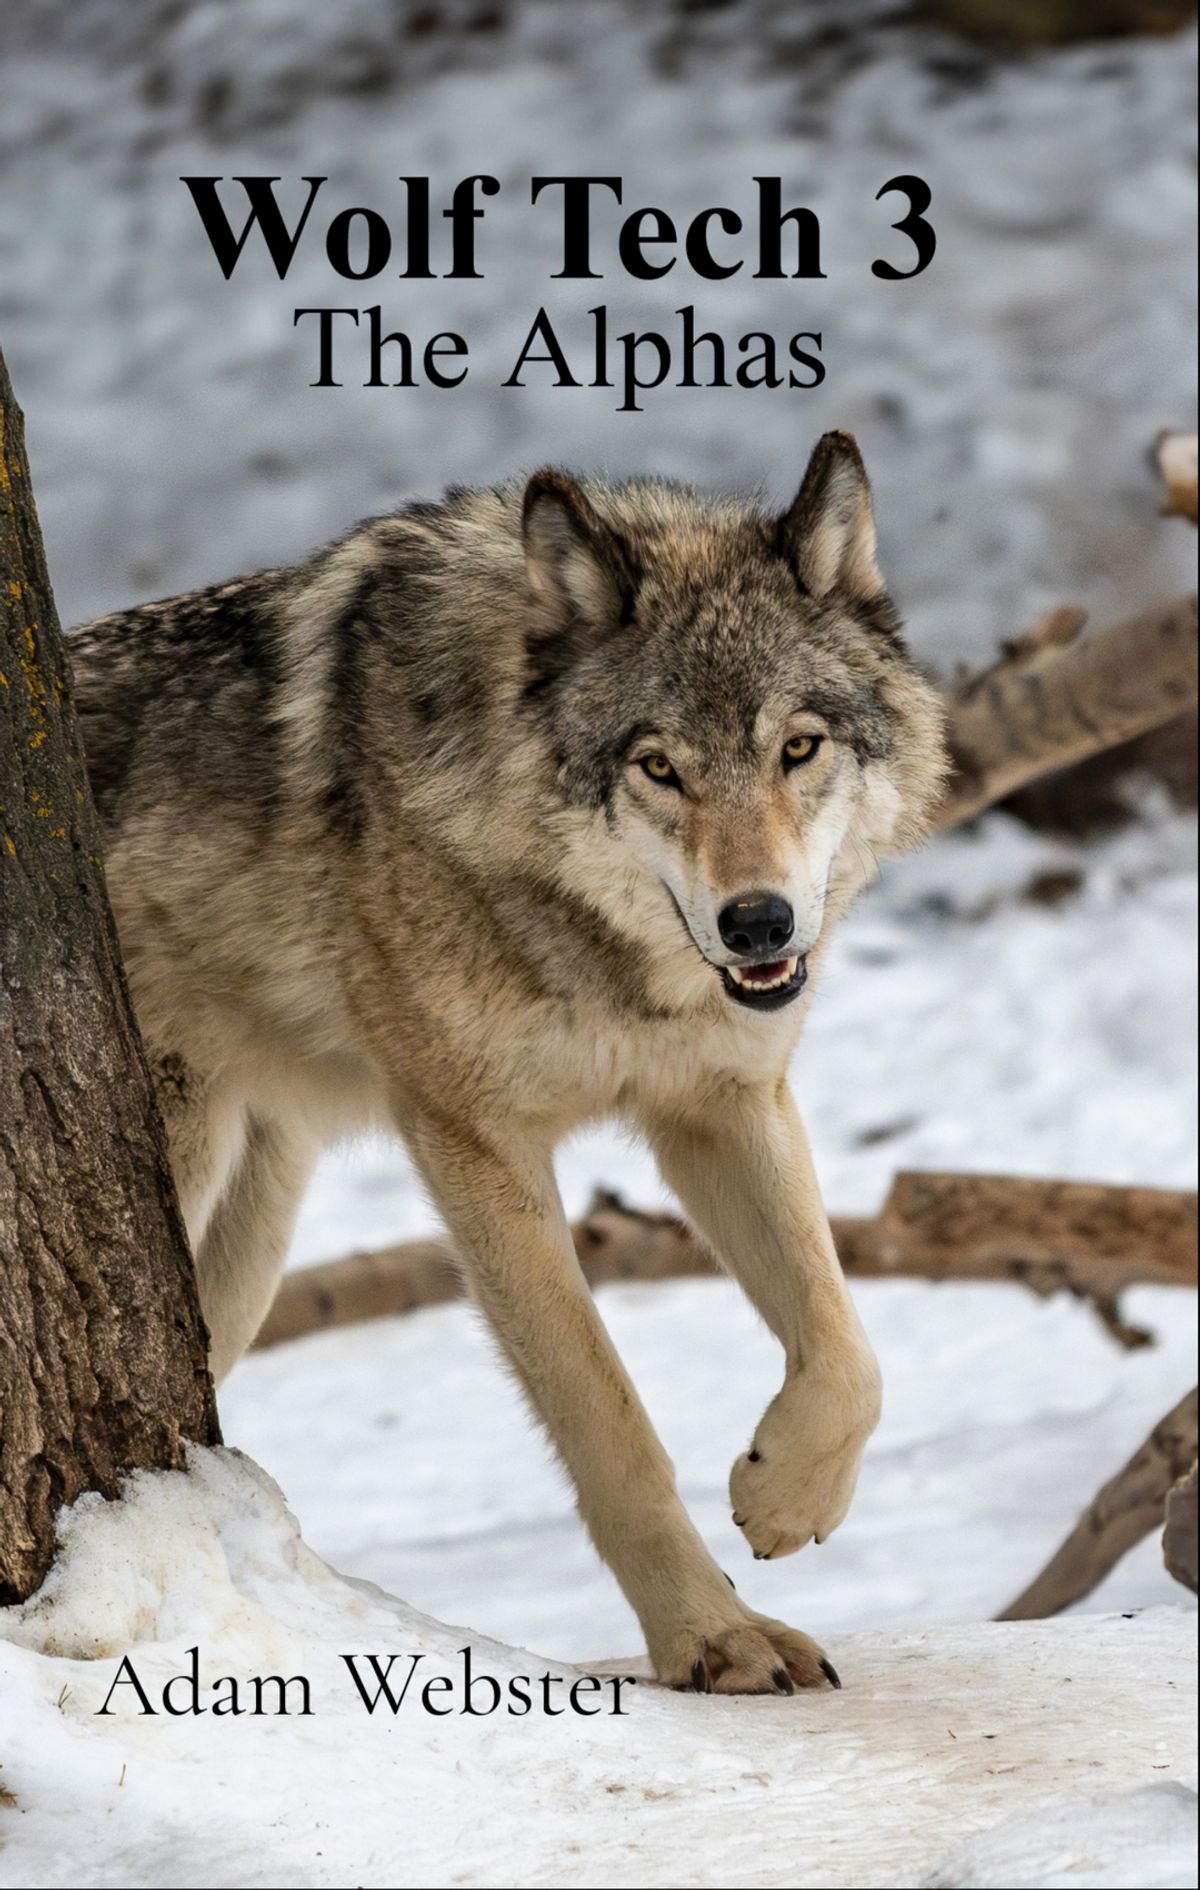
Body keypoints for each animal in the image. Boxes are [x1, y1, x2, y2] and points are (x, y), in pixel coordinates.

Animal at [71, 431, 947, 1695]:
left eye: (799, 748)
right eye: (659, 768)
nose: (759, 924)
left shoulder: (724, 1103)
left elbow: (848, 1353)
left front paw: (784, 1498)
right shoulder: (475, 1146)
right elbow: (610, 1424)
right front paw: (712, 1639)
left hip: (239, 1251)